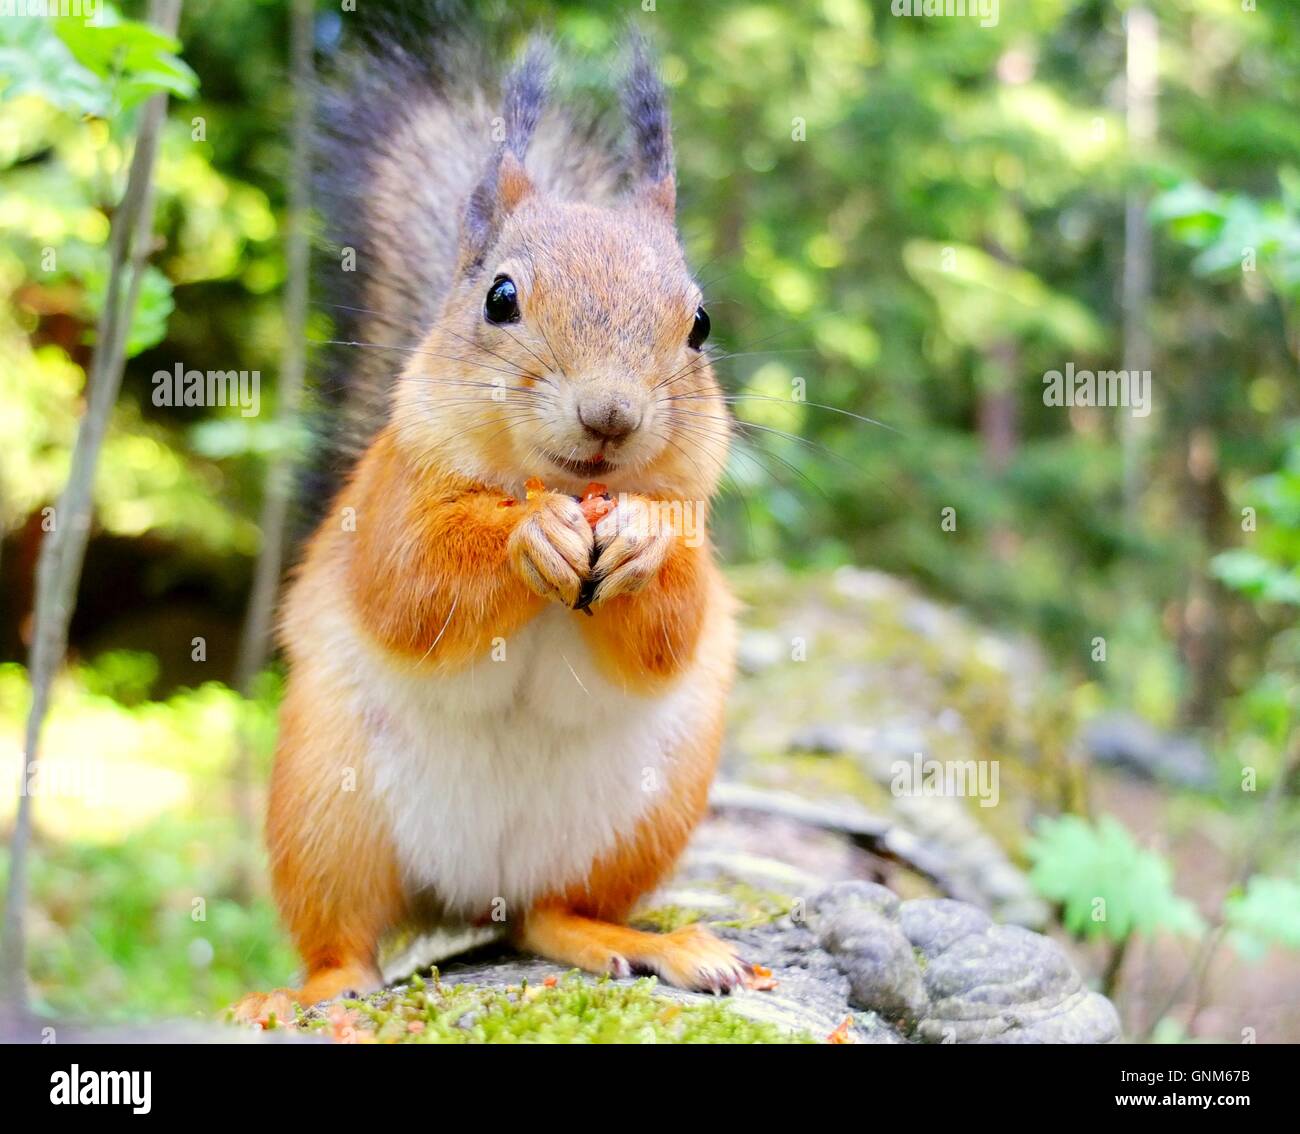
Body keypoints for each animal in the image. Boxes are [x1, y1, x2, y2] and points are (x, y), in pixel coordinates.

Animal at [232, 22, 741, 1024]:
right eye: (500, 298)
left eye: (700, 323)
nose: (610, 414)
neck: (551, 483)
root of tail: (471, 897)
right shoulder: (390, 498)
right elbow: (411, 587)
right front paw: (527, 538)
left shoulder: (697, 525)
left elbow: (675, 626)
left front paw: (644, 540)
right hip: (326, 805)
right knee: (343, 937)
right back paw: (310, 991)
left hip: (643, 815)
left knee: (551, 912)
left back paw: (637, 941)